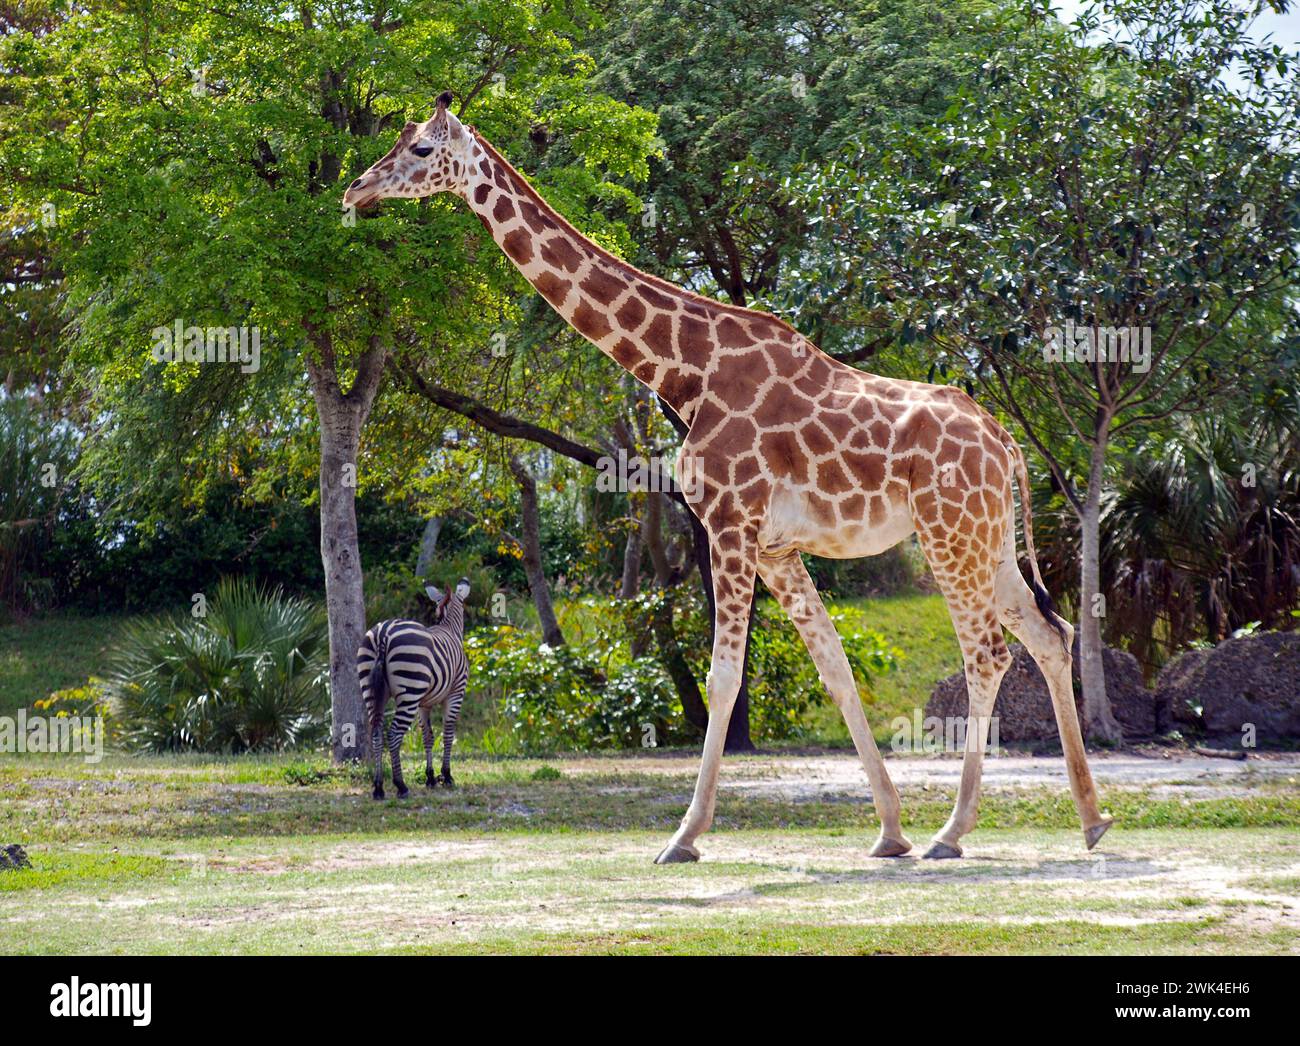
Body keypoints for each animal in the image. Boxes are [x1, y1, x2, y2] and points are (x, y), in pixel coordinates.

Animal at [357, 578, 471, 800]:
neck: (449, 628)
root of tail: (383, 632)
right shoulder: (455, 693)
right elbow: (448, 733)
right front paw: (446, 776)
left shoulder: (423, 704)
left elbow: (428, 736)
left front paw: (430, 777)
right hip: (409, 691)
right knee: (393, 734)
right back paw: (401, 785)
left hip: (371, 689)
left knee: (376, 733)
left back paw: (378, 787)